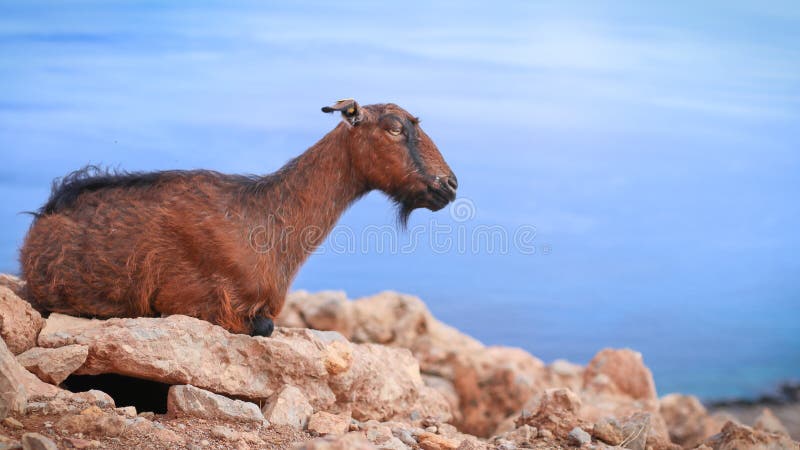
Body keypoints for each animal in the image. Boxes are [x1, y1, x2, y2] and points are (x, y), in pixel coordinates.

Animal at [20, 100, 458, 336]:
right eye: (394, 128)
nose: (449, 184)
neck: (267, 219)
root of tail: (44, 214)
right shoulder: (198, 301)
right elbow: (262, 326)